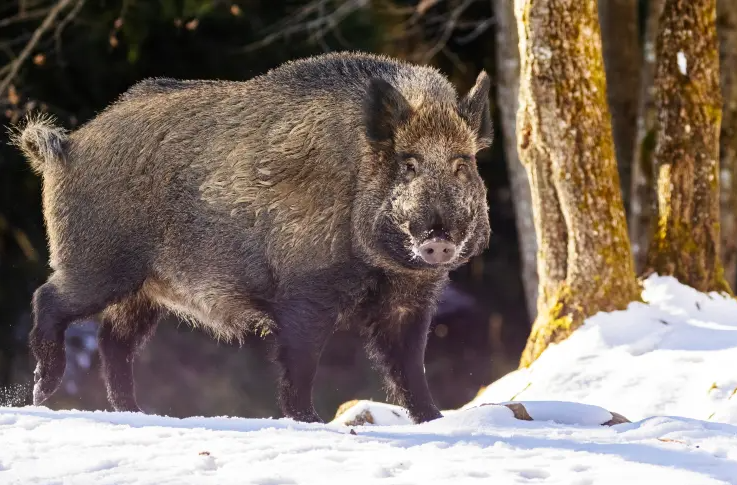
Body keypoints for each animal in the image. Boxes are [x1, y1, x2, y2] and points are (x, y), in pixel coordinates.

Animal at [13, 51, 492, 423]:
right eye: (407, 164)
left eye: (462, 164)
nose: (438, 239)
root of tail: (65, 147)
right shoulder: (306, 293)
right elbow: (302, 362)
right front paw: (308, 420)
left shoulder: (411, 300)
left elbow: (410, 367)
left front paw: (435, 420)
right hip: (98, 263)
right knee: (48, 300)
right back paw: (42, 392)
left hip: (141, 290)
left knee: (114, 343)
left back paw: (137, 412)